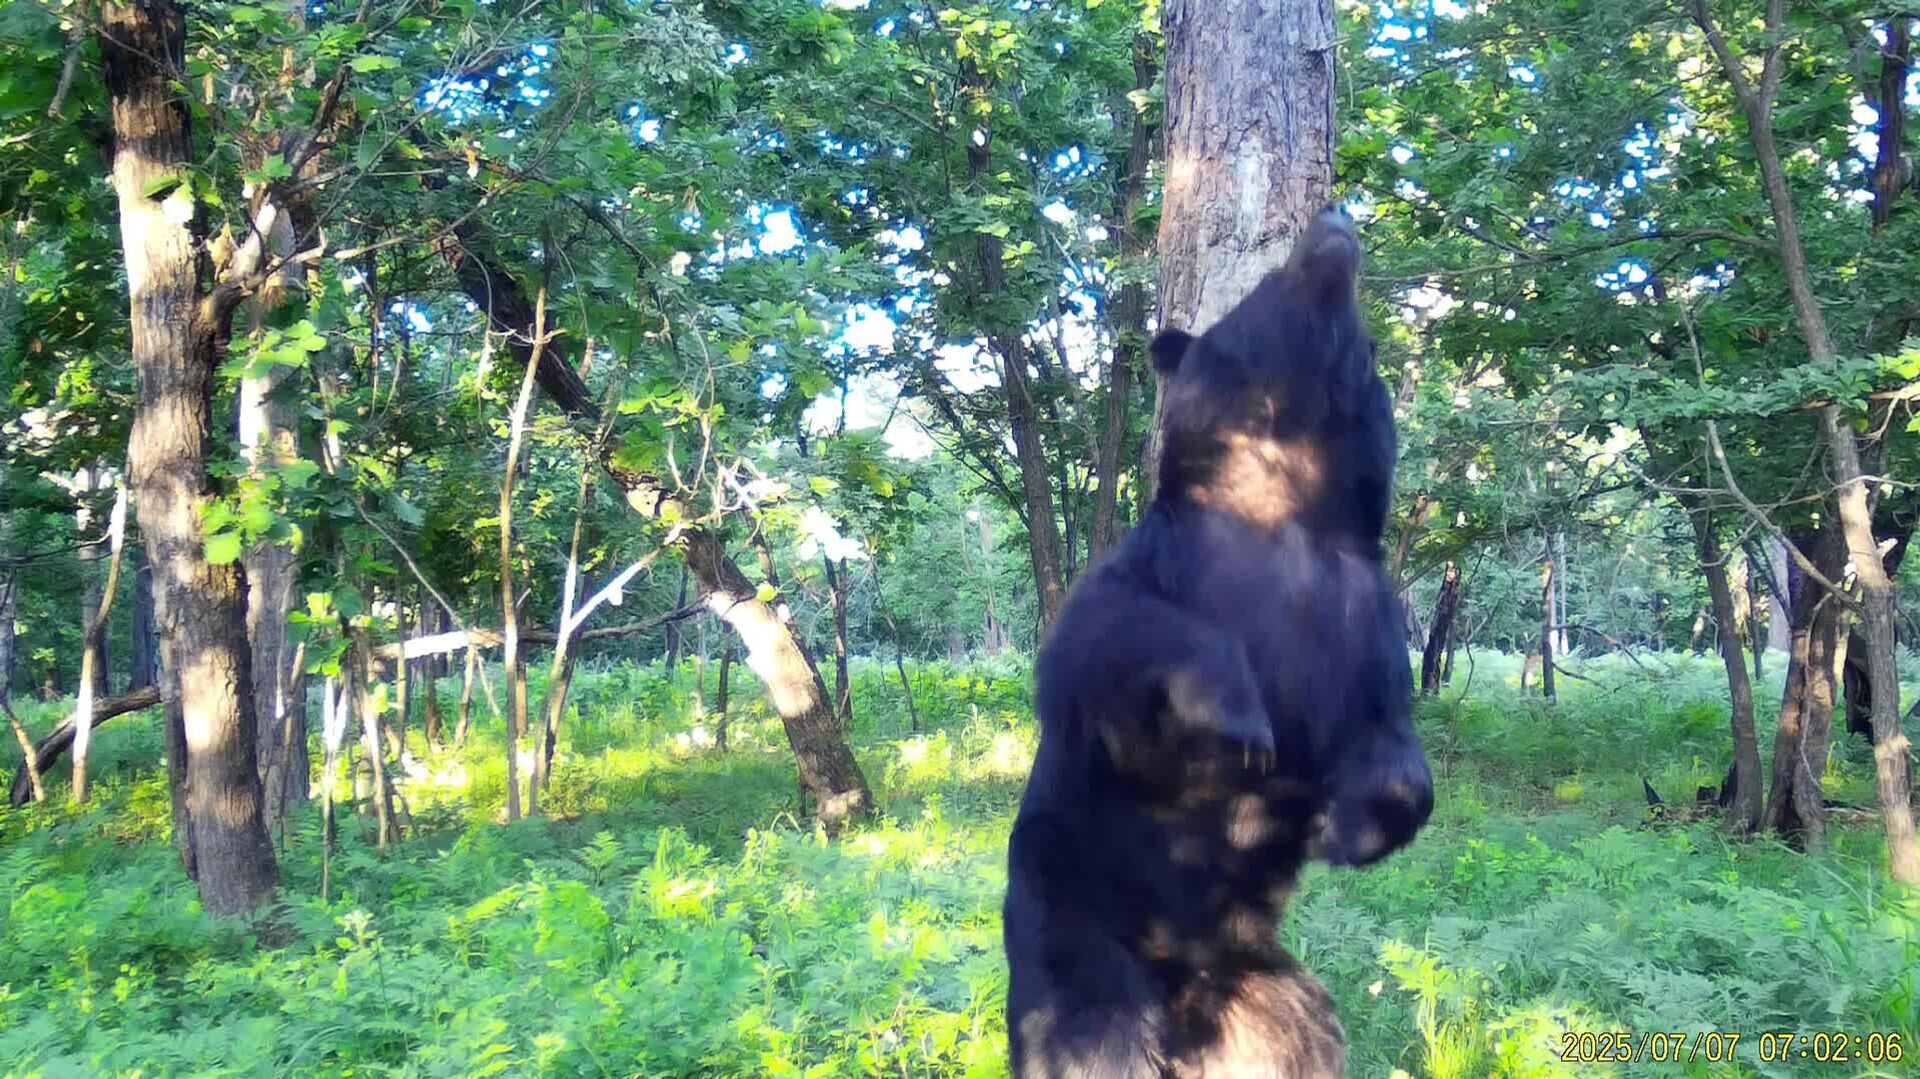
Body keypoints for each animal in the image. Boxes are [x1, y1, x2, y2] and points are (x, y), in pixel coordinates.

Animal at [1002, 207, 1433, 1078]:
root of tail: (1179, 988)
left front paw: (1347, 823)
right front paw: (1240, 719)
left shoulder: (1362, 611)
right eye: (1270, 278)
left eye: (1365, 334)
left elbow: (1389, 735)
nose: (1335, 218)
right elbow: (1104, 641)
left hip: (1255, 980)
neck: (1283, 498)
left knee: (1296, 1031)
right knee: (1083, 1025)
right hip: (1069, 904)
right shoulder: (1172, 561)